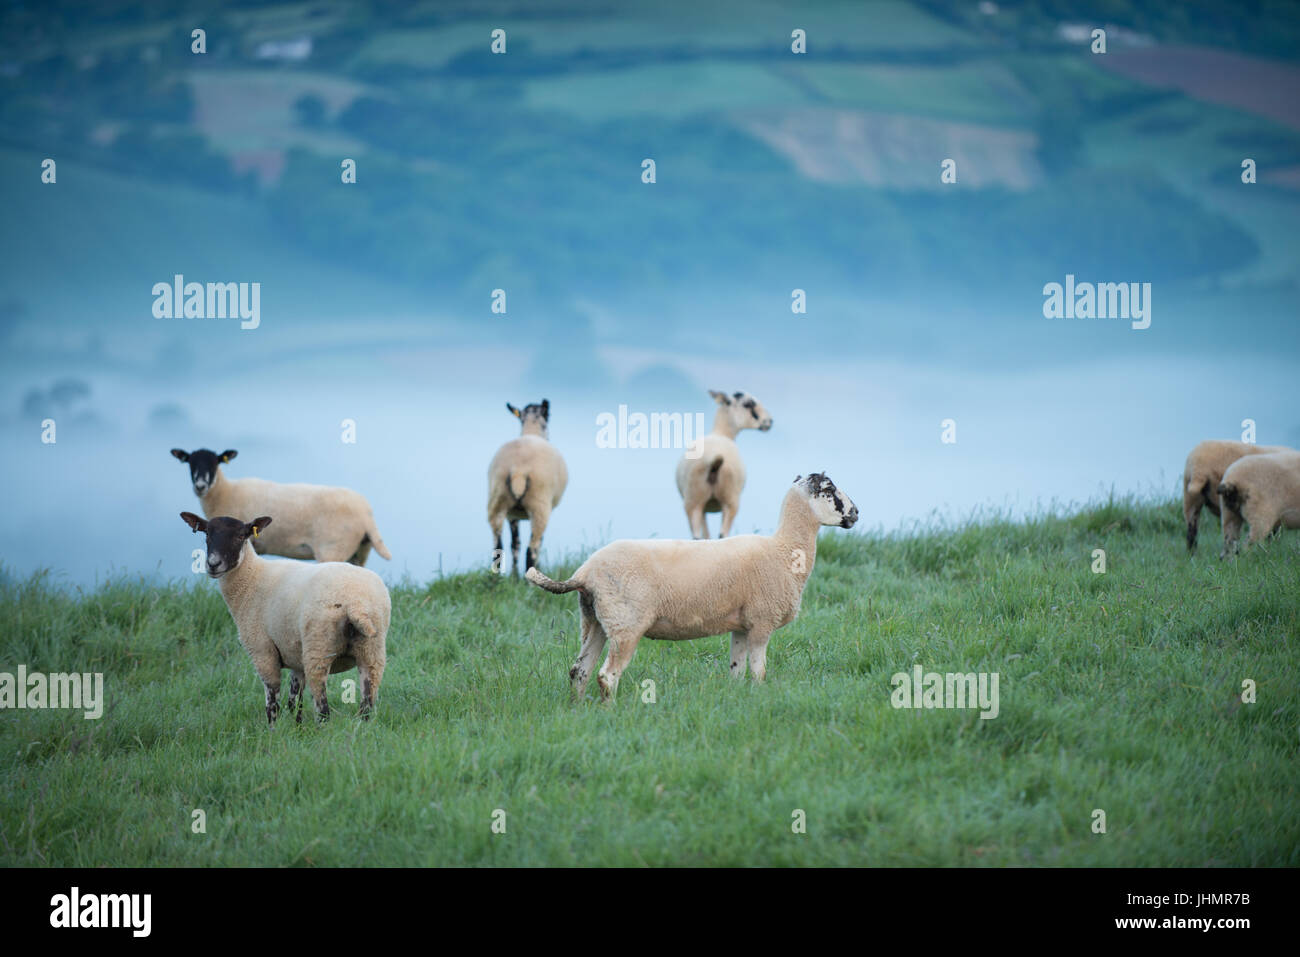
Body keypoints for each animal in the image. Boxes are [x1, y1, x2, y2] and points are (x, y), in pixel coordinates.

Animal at [170, 448, 391, 565]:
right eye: (190, 463)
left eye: (215, 463)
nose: (200, 486)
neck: (226, 491)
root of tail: (366, 513)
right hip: (360, 551)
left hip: (333, 549)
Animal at [180, 511, 390, 724]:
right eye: (207, 534)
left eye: (241, 536)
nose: (213, 564)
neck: (250, 579)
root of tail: (355, 602)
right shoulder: (295, 657)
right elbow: (294, 703)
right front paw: (296, 729)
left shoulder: (263, 651)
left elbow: (272, 704)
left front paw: (273, 730)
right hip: (372, 652)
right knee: (366, 707)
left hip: (319, 648)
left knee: (323, 710)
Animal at [487, 400, 568, 574]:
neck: (532, 431)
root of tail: (519, 469)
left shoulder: (512, 514)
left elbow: (514, 544)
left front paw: (513, 576)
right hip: (539, 506)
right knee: (531, 550)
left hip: (498, 501)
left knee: (498, 548)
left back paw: (498, 578)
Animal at [526, 472, 858, 700]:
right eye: (829, 489)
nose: (856, 513)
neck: (785, 549)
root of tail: (586, 572)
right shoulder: (762, 622)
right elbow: (759, 673)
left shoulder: (742, 625)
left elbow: (736, 671)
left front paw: (739, 700)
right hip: (626, 624)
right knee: (607, 676)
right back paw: (610, 711)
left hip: (594, 620)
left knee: (579, 671)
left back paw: (578, 710)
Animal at [675, 390, 773, 539]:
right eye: (748, 404)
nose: (769, 421)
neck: (722, 433)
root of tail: (714, 460)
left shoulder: (703, 507)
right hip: (728, 500)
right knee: (721, 535)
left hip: (694, 500)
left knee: (698, 537)